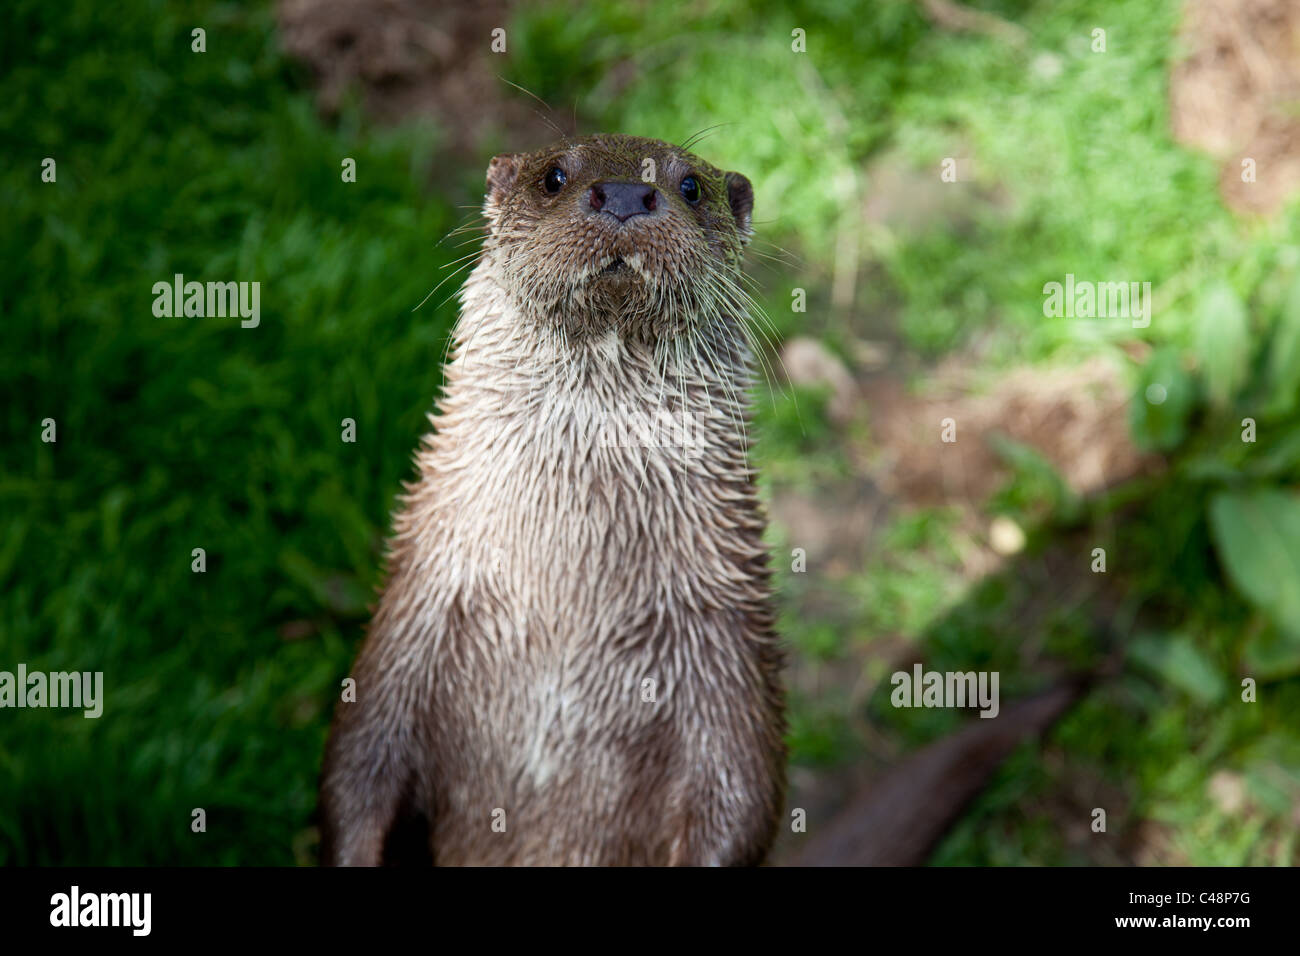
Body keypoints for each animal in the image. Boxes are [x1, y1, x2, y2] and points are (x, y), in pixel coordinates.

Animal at [319, 134, 786, 866]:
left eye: (690, 187)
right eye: (554, 177)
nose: (623, 194)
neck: (567, 602)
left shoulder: (723, 649)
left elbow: (742, 794)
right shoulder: (411, 620)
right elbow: (357, 767)